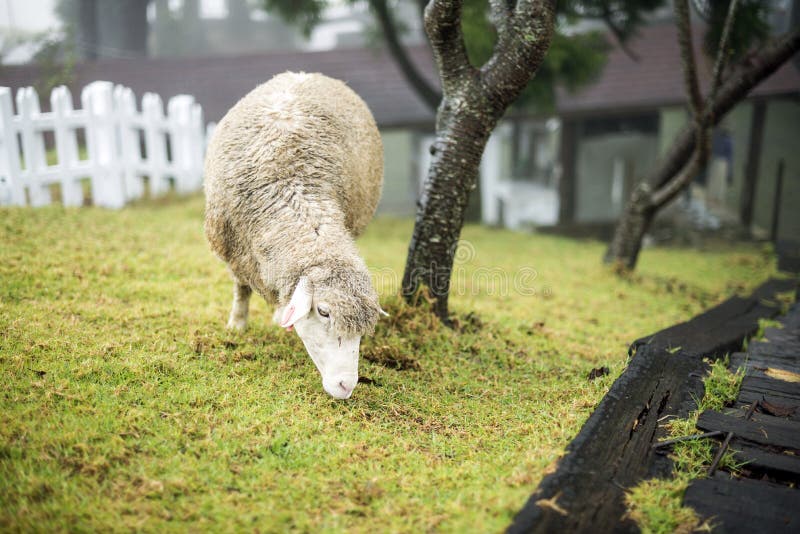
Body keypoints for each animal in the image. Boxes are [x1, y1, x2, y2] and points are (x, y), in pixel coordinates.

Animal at [204, 71, 385, 400]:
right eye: (323, 312)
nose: (346, 386)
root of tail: (304, 74)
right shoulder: (234, 251)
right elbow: (241, 290)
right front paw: (236, 325)